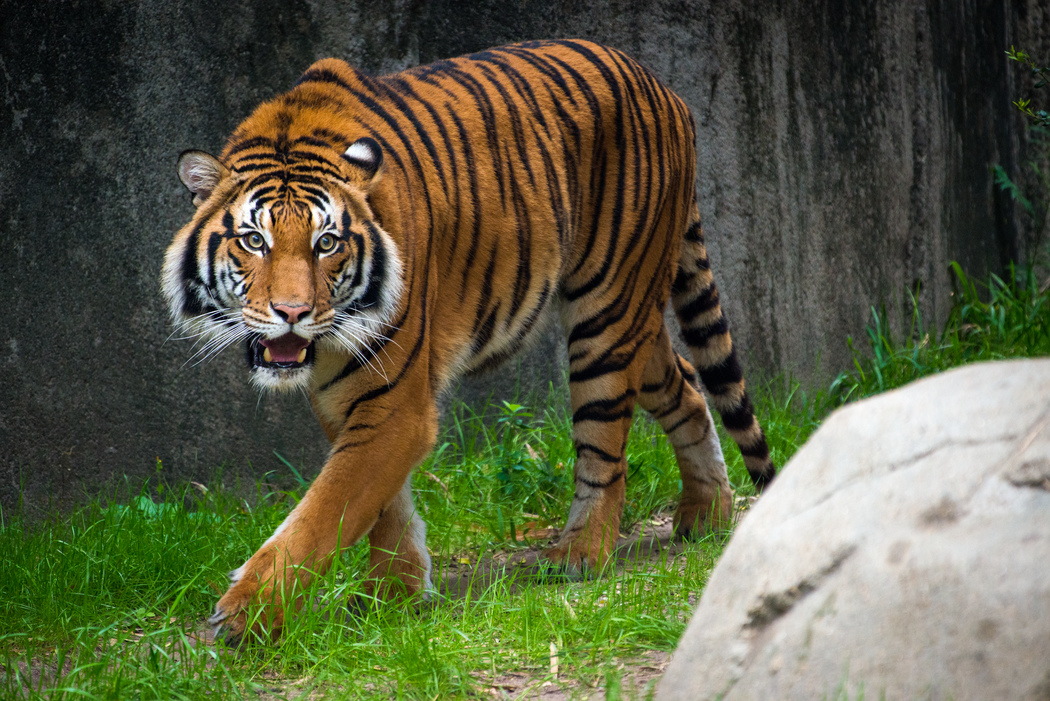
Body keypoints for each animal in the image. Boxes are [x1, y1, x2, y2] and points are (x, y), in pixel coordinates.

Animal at [162, 39, 776, 642]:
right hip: (636, 316)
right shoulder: (348, 397)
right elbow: (379, 503)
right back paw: (708, 513)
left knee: (605, 445)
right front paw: (396, 594)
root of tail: (665, 89)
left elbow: (325, 511)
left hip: (607, 311)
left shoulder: (395, 401)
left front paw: (244, 616)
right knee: (687, 384)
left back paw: (579, 553)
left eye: (327, 243)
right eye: (254, 241)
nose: (293, 313)